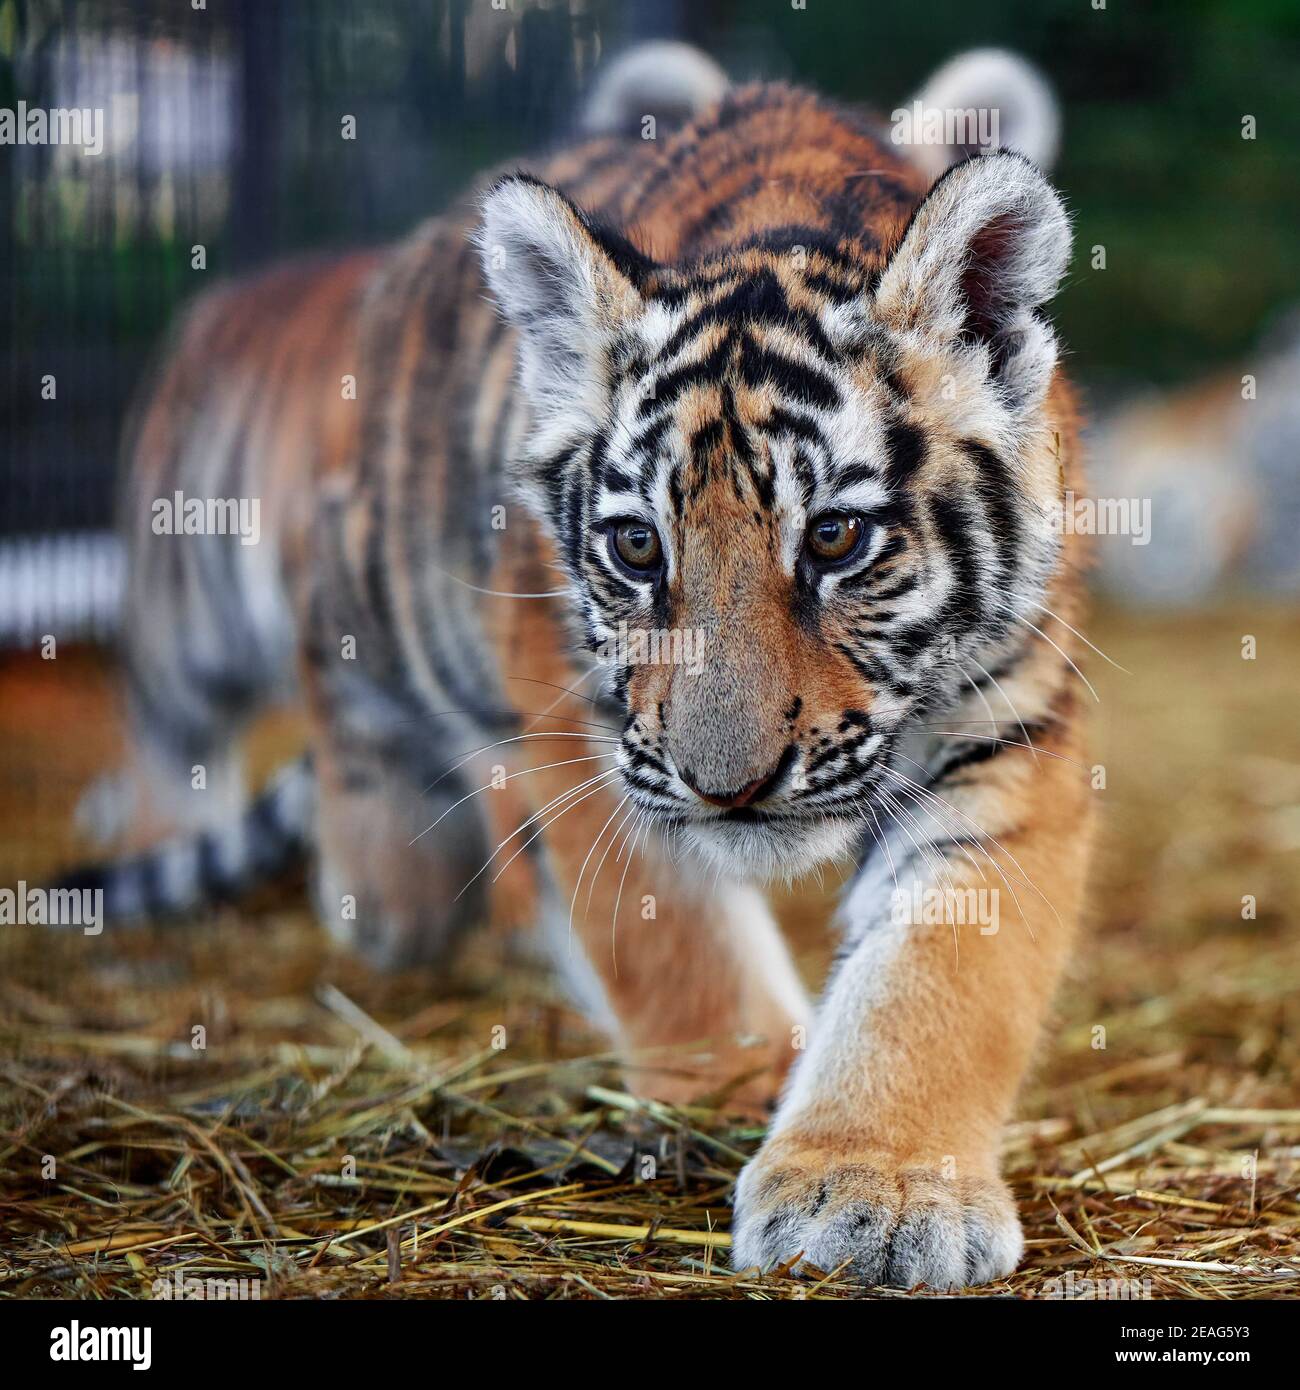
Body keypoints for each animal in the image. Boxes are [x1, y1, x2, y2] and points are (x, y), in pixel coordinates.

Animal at [61, 43, 1093, 1288]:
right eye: (638, 548)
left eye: (837, 539)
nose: (728, 786)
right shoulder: (588, 728)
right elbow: (671, 942)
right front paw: (744, 1086)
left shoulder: (1009, 728)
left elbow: (938, 973)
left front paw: (873, 1190)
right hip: (248, 598)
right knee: (261, 742)